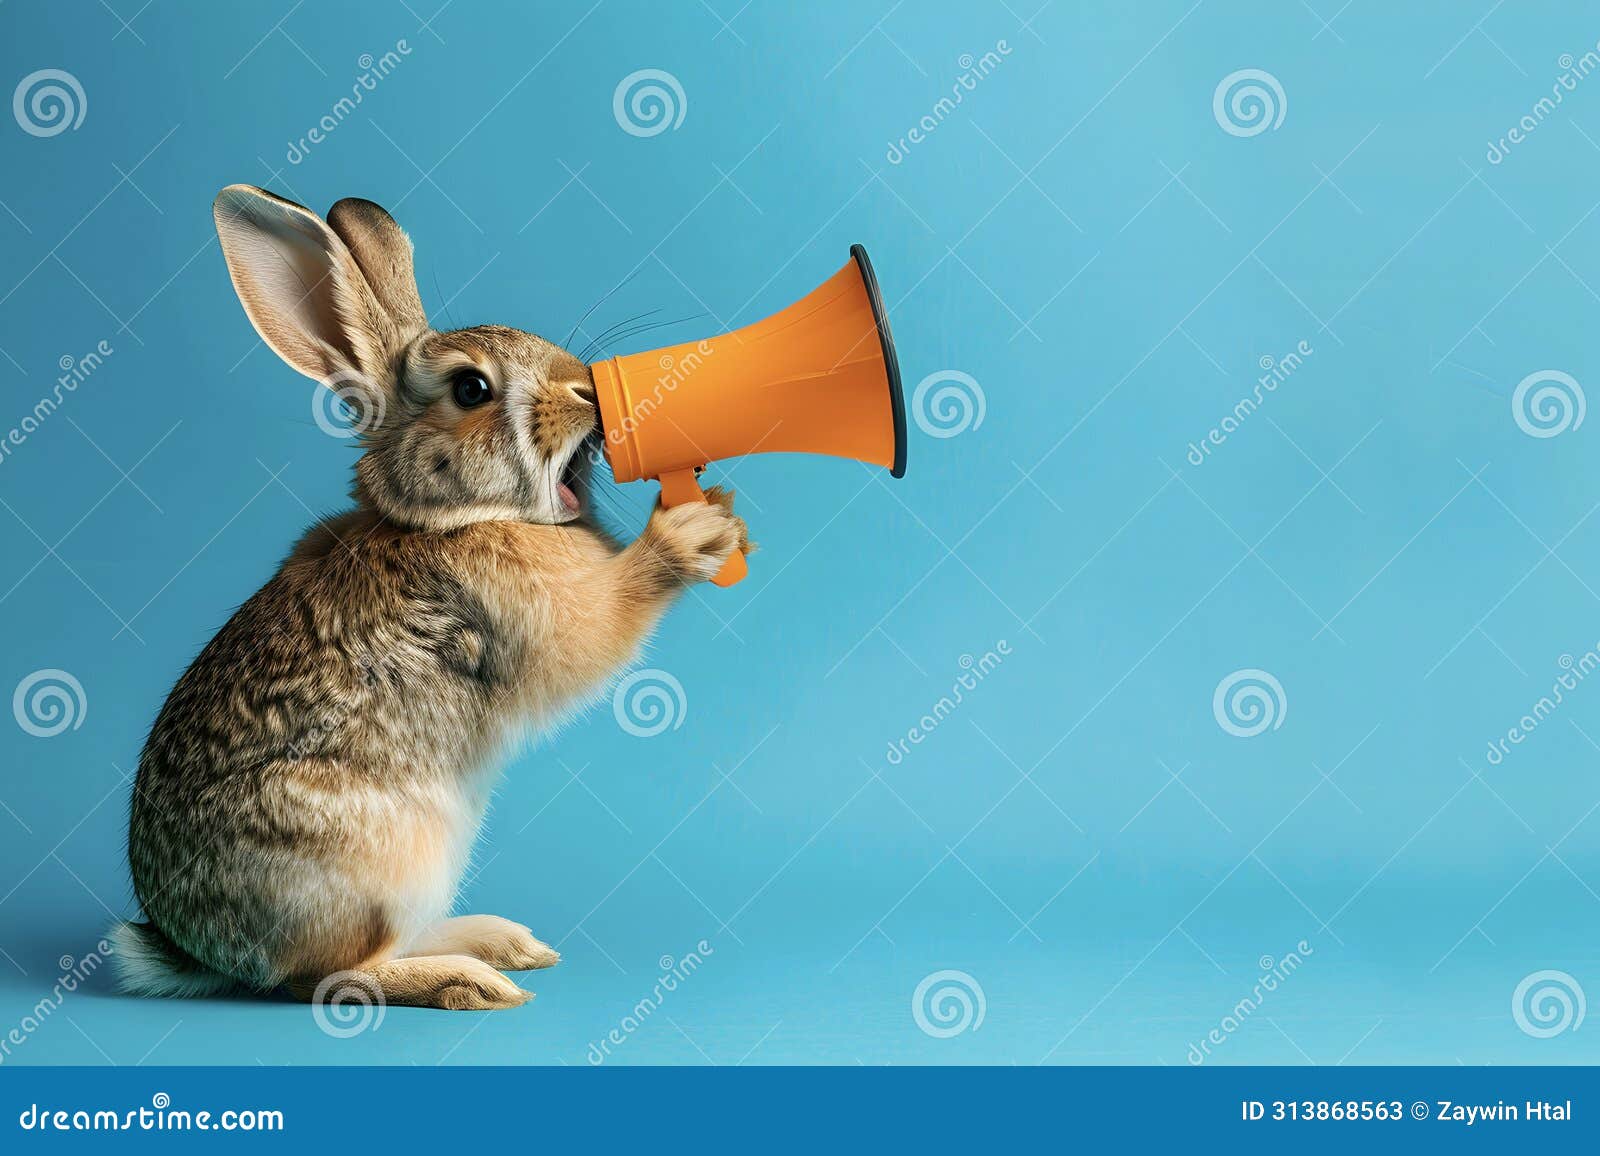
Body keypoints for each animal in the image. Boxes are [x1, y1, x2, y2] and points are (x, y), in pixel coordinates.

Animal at [107, 185, 748, 1010]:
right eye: (471, 389)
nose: (586, 389)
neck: (454, 517)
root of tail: (200, 951)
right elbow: (607, 622)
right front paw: (693, 532)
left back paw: (502, 942)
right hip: (377, 866)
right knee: (330, 976)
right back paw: (468, 981)